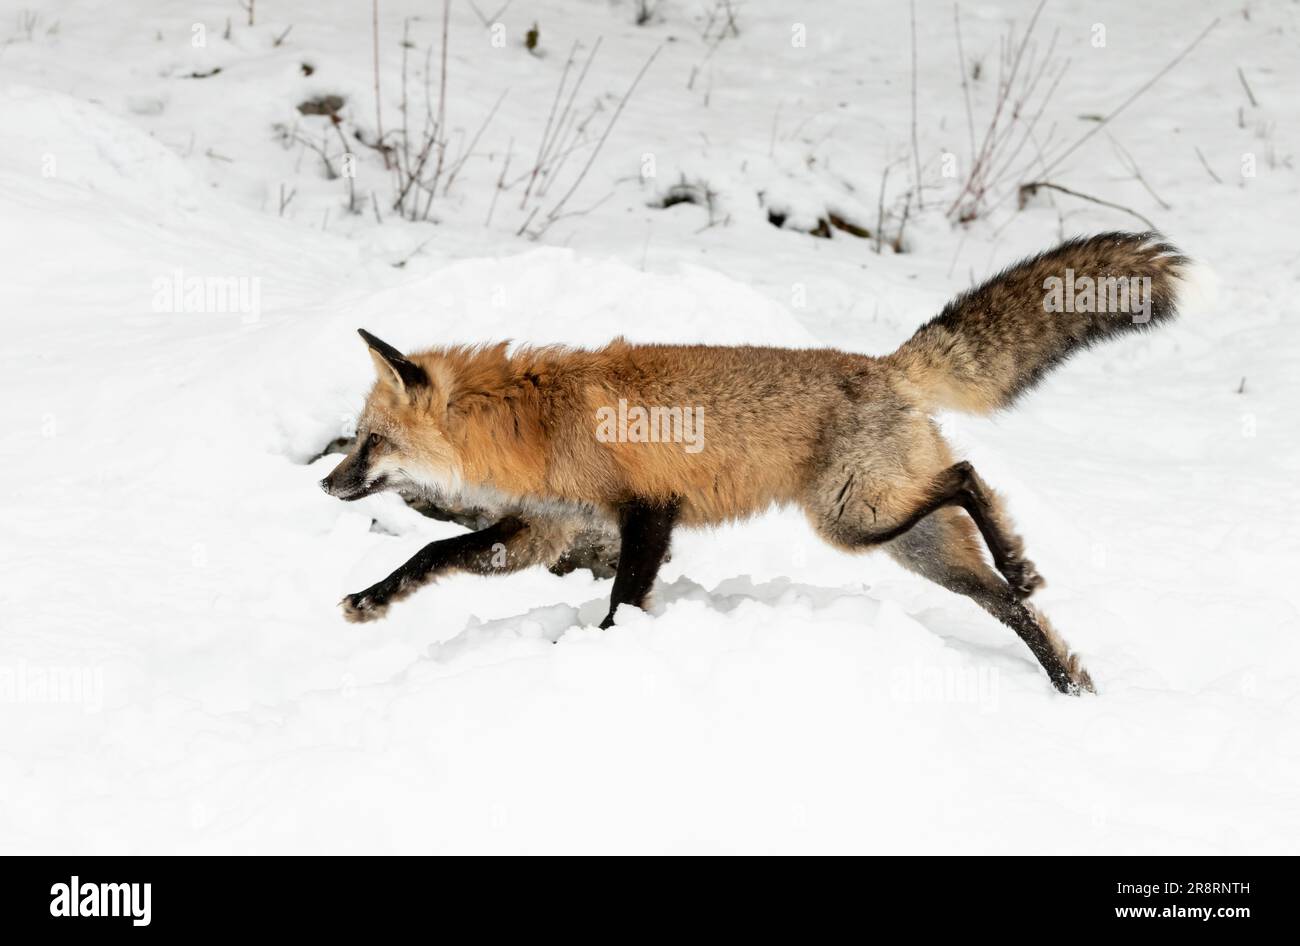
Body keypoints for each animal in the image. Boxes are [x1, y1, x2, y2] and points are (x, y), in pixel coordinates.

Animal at [321, 231, 1188, 694]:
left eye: (370, 442)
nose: (327, 483)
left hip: (851, 518)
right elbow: (434, 552)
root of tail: (887, 367)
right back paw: (1068, 681)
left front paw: (609, 655)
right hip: (910, 545)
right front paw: (370, 600)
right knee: (1009, 601)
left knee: (969, 479)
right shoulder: (545, 531)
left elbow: (624, 599)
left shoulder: (650, 509)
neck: (534, 420)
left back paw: (1021, 562)